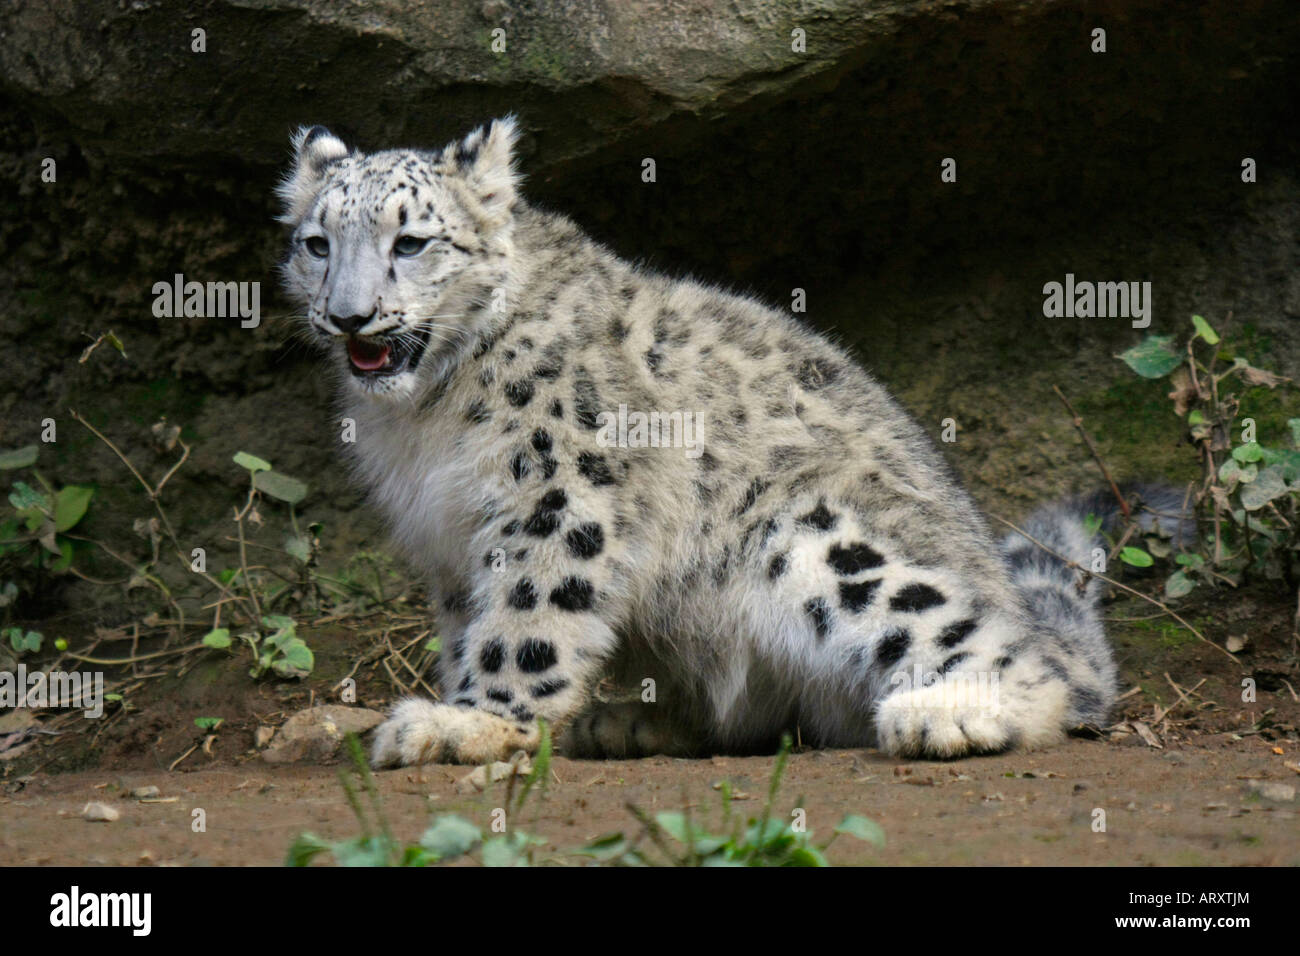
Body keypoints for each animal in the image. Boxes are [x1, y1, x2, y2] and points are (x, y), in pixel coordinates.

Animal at [276, 116, 1182, 767]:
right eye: (317, 243)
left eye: (411, 241)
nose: (349, 316)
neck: (427, 415)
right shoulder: (453, 537)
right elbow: (472, 623)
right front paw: (464, 704)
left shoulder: (563, 489)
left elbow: (529, 613)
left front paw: (474, 724)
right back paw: (629, 723)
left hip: (824, 536)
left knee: (1008, 653)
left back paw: (950, 713)